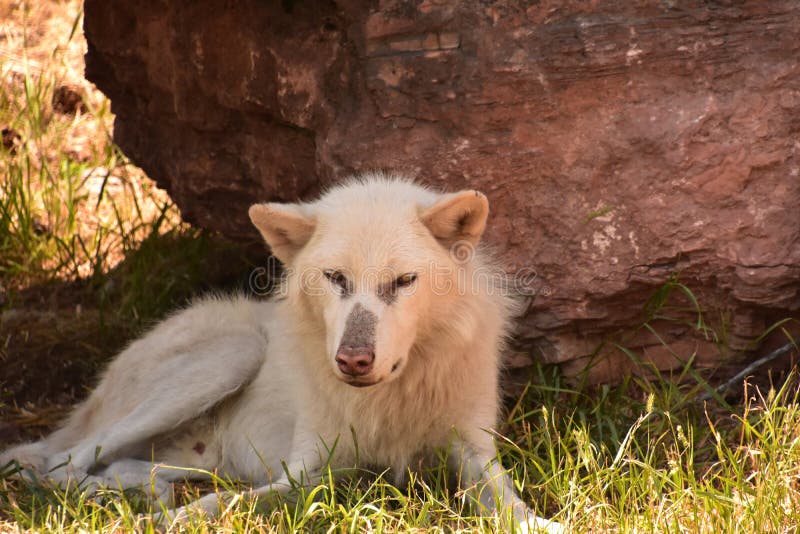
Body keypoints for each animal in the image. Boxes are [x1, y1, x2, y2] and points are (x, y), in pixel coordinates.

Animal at [1, 173, 562, 532]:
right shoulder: (309, 470)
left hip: (194, 450)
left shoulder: (474, 455)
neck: (391, 399)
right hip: (232, 354)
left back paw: (141, 491)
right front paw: (166, 521)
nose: (352, 361)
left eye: (403, 282)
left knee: (124, 469)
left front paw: (542, 523)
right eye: (336, 278)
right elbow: (228, 504)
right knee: (57, 464)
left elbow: (509, 503)